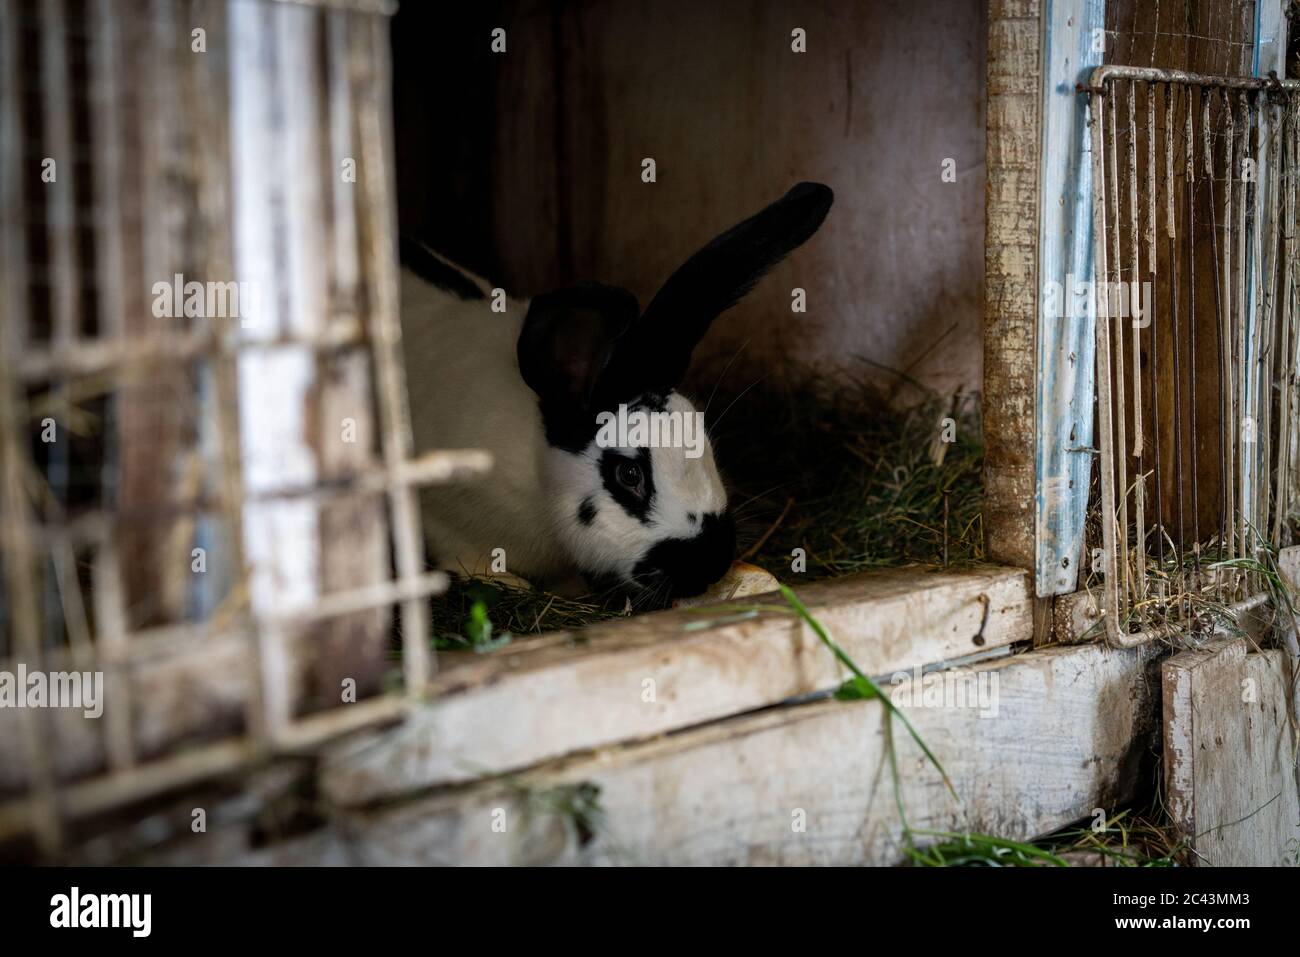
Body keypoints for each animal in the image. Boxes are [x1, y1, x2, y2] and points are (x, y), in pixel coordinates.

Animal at [399, 182, 833, 604]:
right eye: (629, 474)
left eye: (705, 443)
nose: (709, 563)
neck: (538, 474)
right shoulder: (442, 516)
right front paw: (509, 583)